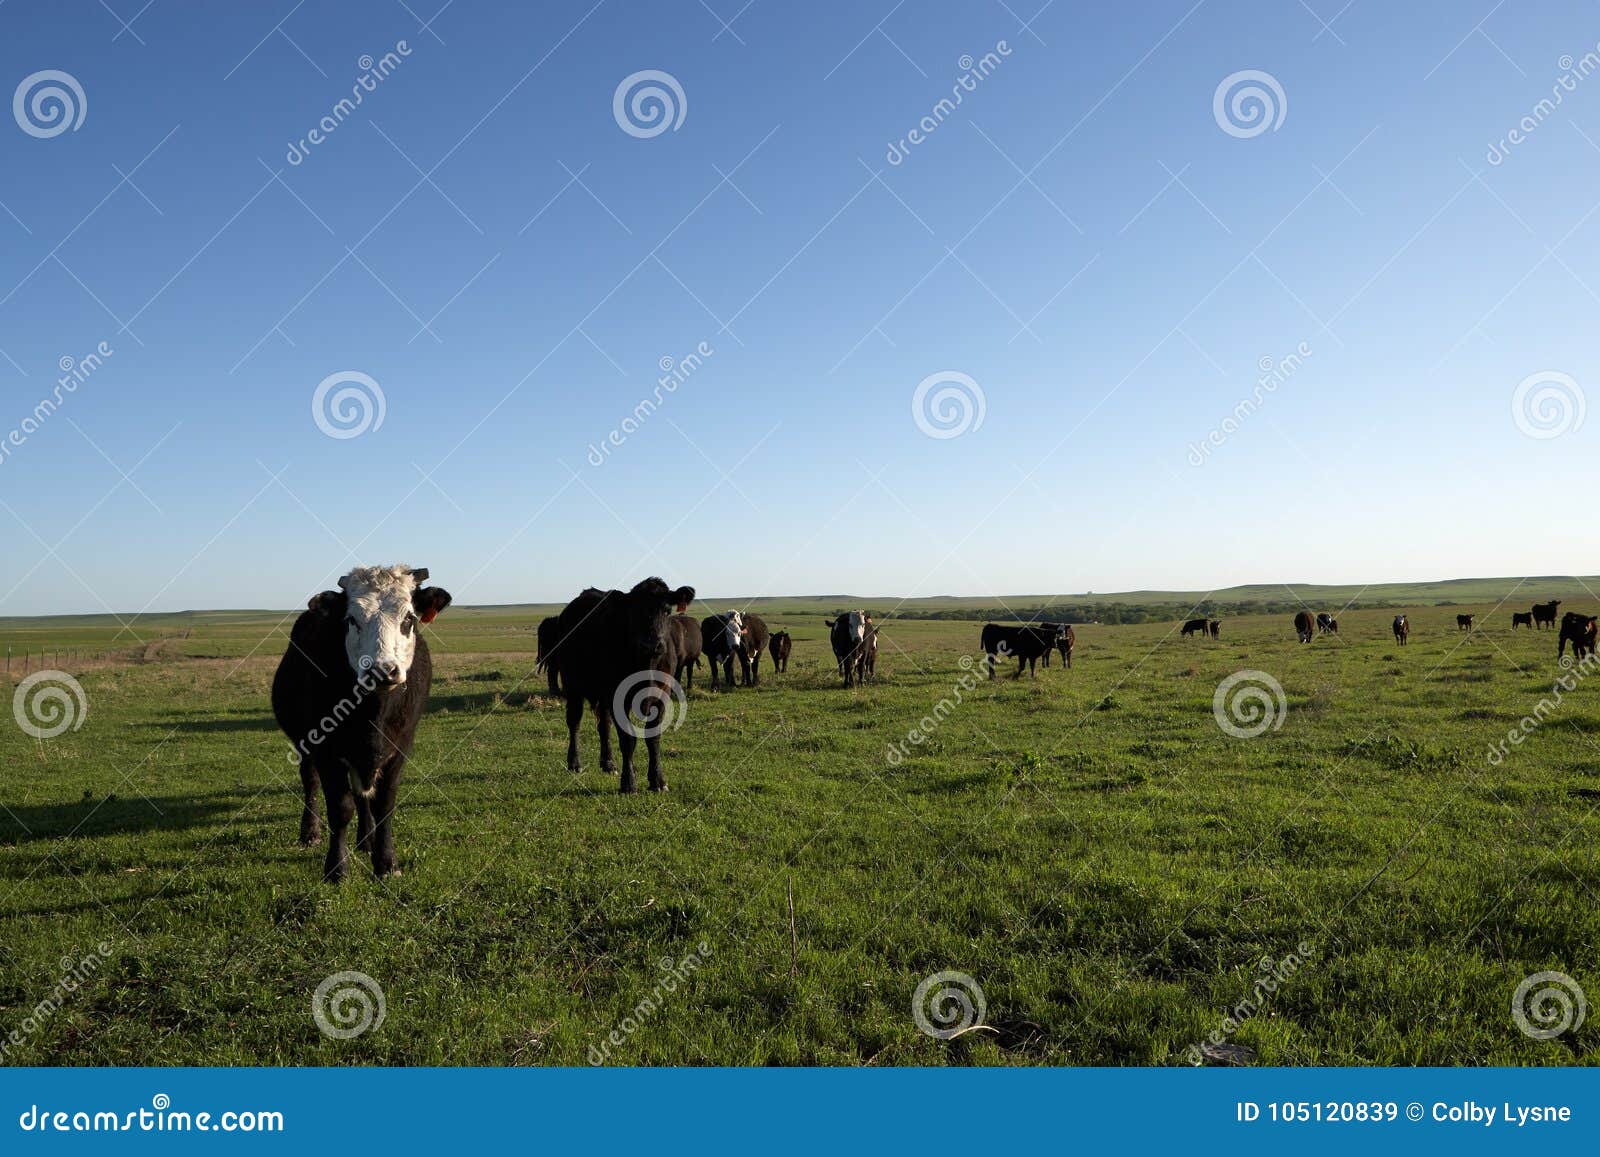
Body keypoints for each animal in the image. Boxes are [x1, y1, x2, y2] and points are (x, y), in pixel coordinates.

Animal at [271, 565, 452, 882]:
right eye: (351, 619)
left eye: (408, 619)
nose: (382, 670)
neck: (373, 714)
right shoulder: (326, 751)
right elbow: (340, 808)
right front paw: (336, 868)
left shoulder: (400, 747)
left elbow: (383, 805)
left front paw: (386, 863)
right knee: (310, 782)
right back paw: (310, 832)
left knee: (362, 796)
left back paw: (366, 841)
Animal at [556, 577, 695, 793]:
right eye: (634, 612)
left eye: (666, 610)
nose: (651, 644)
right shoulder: (617, 698)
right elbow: (627, 739)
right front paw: (629, 783)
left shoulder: (661, 697)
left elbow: (653, 738)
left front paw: (657, 780)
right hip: (572, 685)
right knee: (574, 721)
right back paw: (575, 763)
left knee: (604, 725)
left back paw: (609, 763)